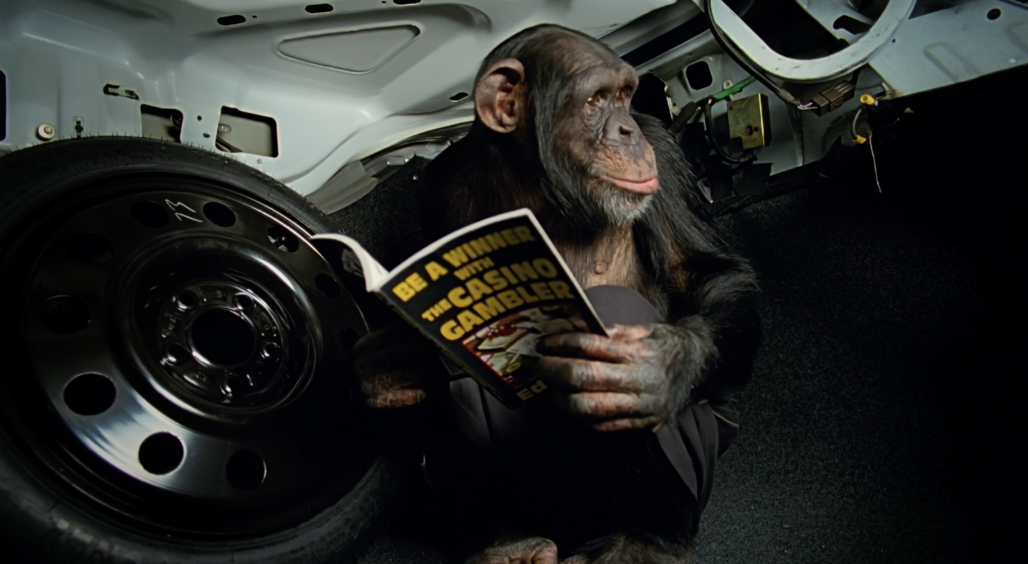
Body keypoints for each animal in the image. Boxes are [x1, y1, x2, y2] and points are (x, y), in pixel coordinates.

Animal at [352, 24, 760, 563]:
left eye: (625, 96)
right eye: (595, 100)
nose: (627, 131)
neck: (538, 188)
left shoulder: (666, 159)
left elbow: (702, 270)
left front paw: (660, 366)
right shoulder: (443, 187)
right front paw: (390, 365)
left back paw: (645, 542)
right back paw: (506, 540)